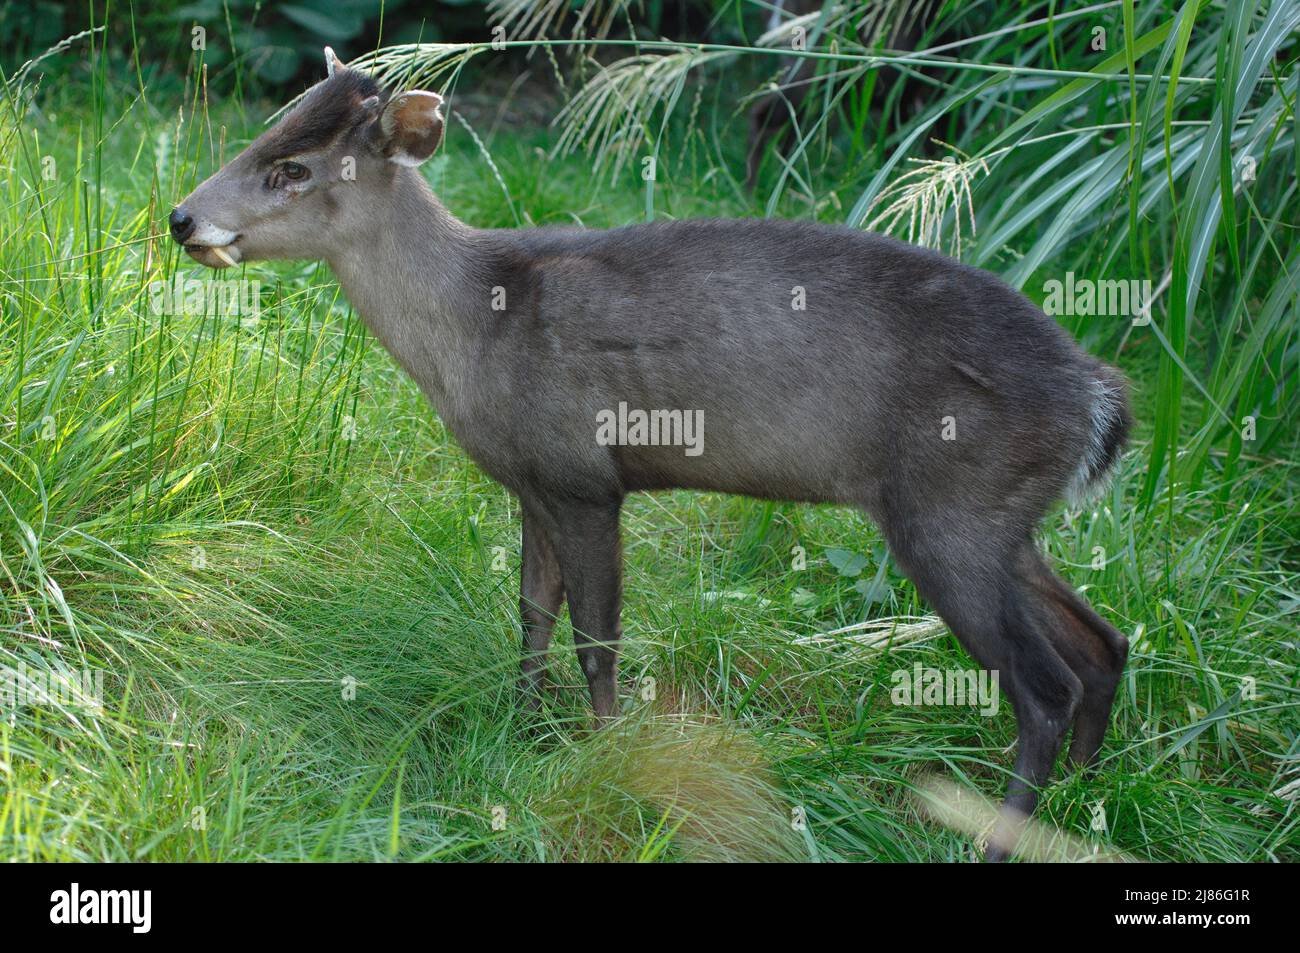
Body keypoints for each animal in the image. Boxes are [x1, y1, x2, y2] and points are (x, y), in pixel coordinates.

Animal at [170, 49, 1132, 860]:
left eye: (292, 170)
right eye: (267, 132)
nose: (182, 218)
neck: (478, 326)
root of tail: (1094, 397)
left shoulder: (586, 477)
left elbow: (598, 638)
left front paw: (605, 761)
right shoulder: (533, 483)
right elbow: (532, 613)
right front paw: (522, 732)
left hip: (949, 511)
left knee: (1045, 684)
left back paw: (999, 836)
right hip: (998, 518)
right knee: (1102, 642)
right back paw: (1085, 802)